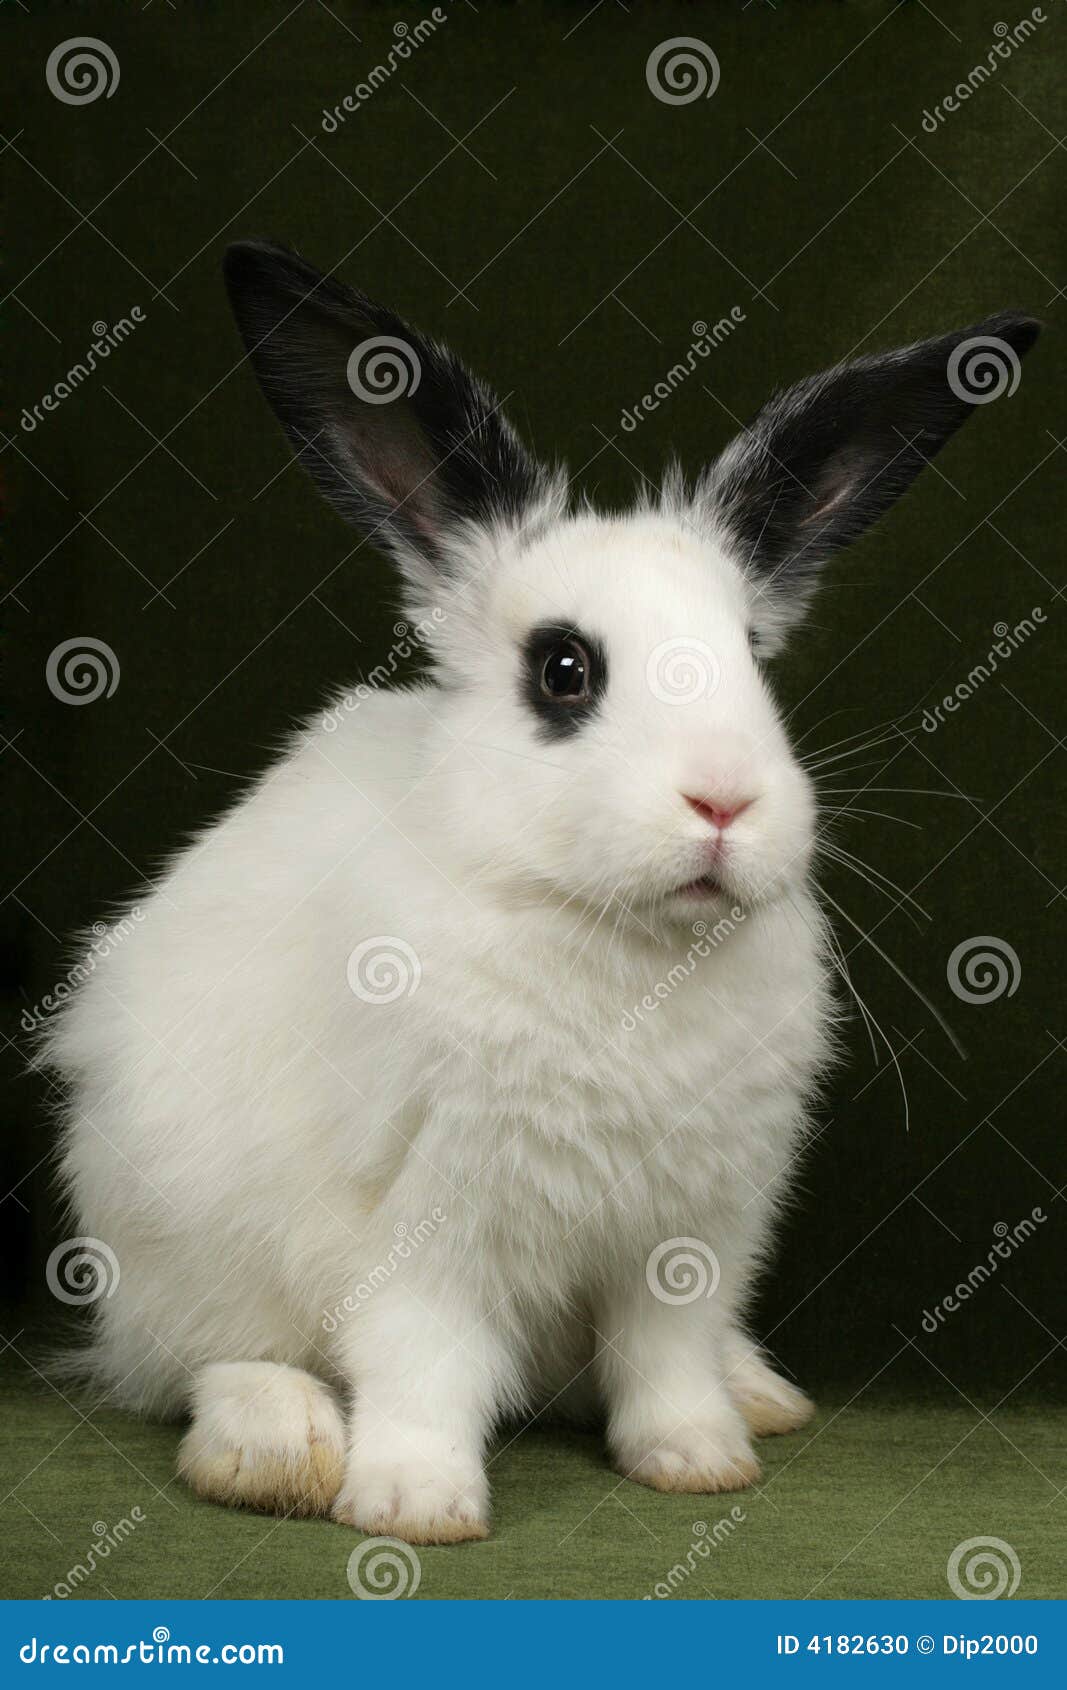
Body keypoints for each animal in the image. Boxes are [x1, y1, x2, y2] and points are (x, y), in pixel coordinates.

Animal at [42, 238, 1039, 1544]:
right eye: (563, 670)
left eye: (751, 660)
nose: (723, 802)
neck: (619, 938)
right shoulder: (424, 1217)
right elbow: (421, 1360)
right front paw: (414, 1504)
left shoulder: (691, 1231)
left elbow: (664, 1356)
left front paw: (697, 1460)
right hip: (180, 1232)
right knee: (204, 1361)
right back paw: (276, 1450)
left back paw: (758, 1394)